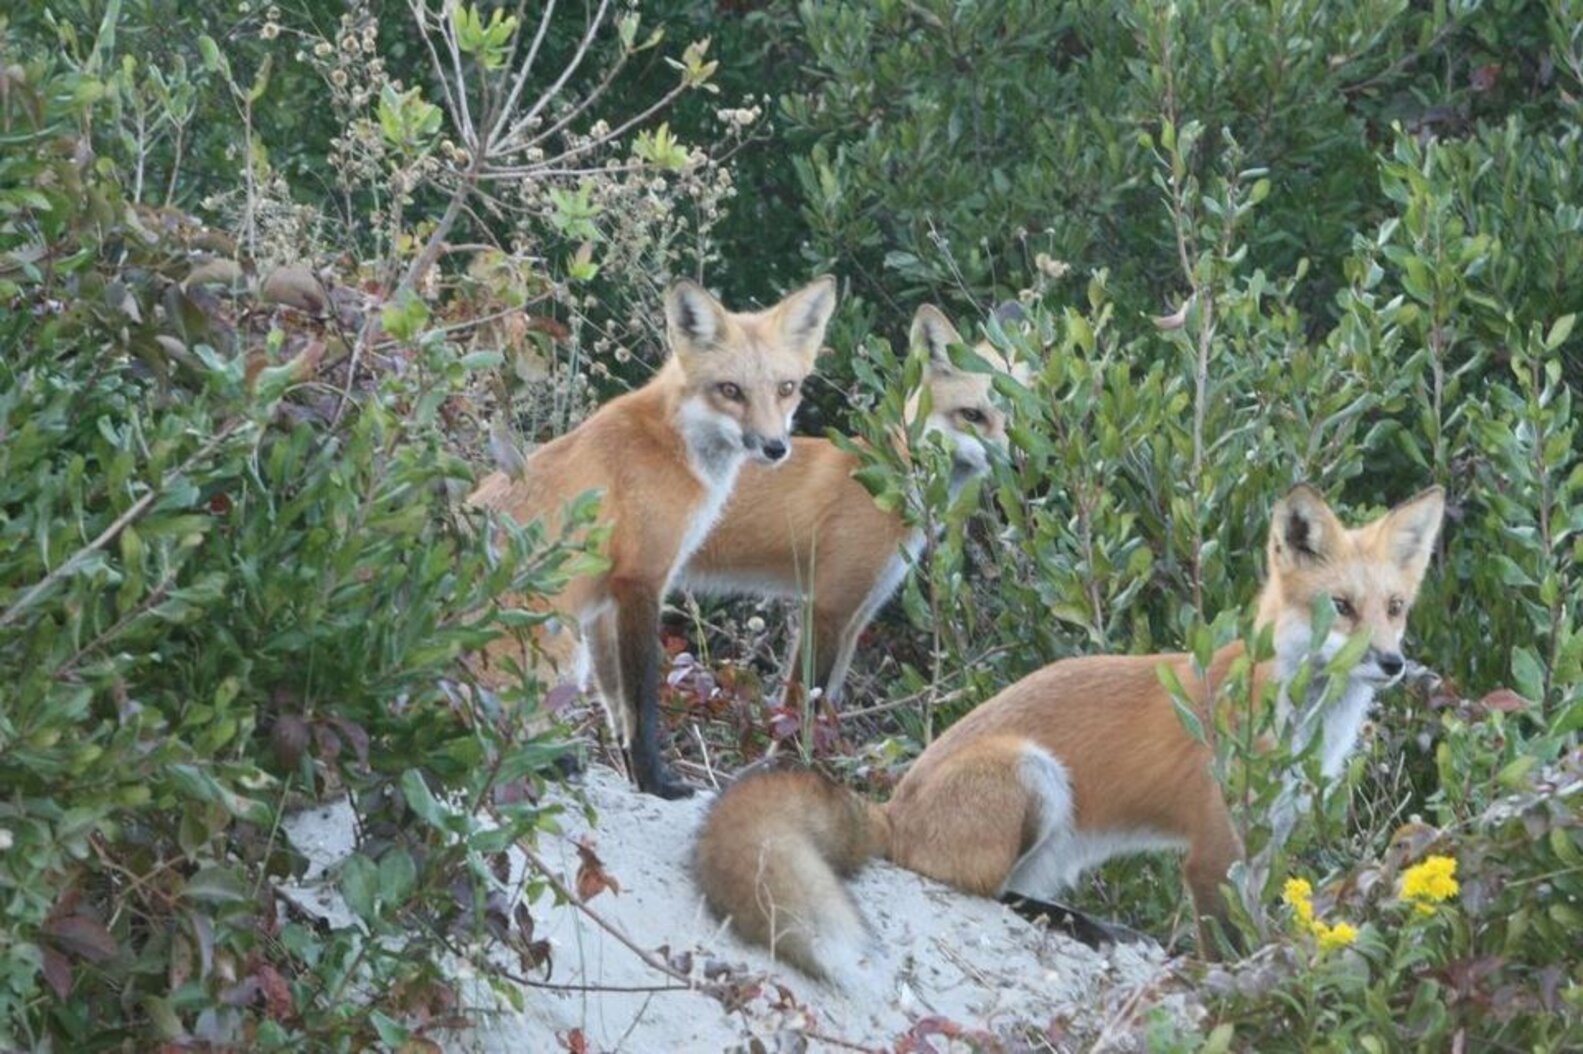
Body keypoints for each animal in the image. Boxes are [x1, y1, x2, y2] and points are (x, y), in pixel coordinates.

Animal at [470, 276, 838, 799]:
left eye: (786, 389)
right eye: (730, 390)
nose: (774, 448)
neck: (675, 444)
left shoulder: (605, 605)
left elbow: (616, 707)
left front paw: (633, 775)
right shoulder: (642, 579)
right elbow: (641, 702)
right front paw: (658, 781)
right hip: (561, 647)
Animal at [679, 303, 1025, 705]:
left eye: (1016, 413)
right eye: (972, 415)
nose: (1017, 465)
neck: (888, 486)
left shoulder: (860, 614)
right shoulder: (829, 607)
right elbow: (801, 708)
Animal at [693, 483, 1445, 979]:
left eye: (1394, 608)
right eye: (1341, 607)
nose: (1393, 663)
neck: (1294, 721)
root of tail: (891, 808)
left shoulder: (1262, 847)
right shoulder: (1210, 854)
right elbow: (1229, 955)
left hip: (1062, 842)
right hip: (1036, 776)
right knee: (975, 888)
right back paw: (1082, 926)